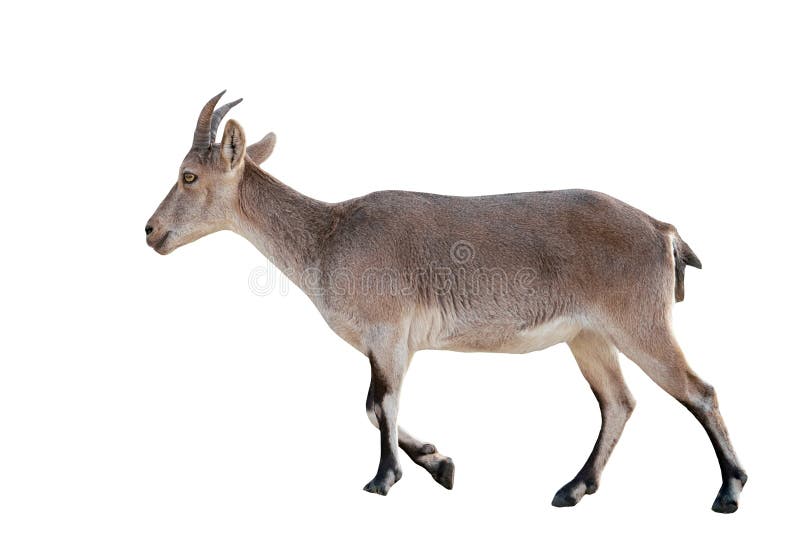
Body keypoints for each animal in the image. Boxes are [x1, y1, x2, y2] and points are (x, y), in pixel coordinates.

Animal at [145, 92, 747, 512]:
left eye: (188, 175)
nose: (150, 231)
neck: (329, 236)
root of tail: (662, 230)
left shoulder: (388, 335)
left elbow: (378, 405)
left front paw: (384, 480)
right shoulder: (396, 345)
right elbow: (379, 408)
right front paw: (441, 465)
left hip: (638, 323)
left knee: (699, 391)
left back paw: (730, 492)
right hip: (589, 337)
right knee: (619, 401)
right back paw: (573, 489)